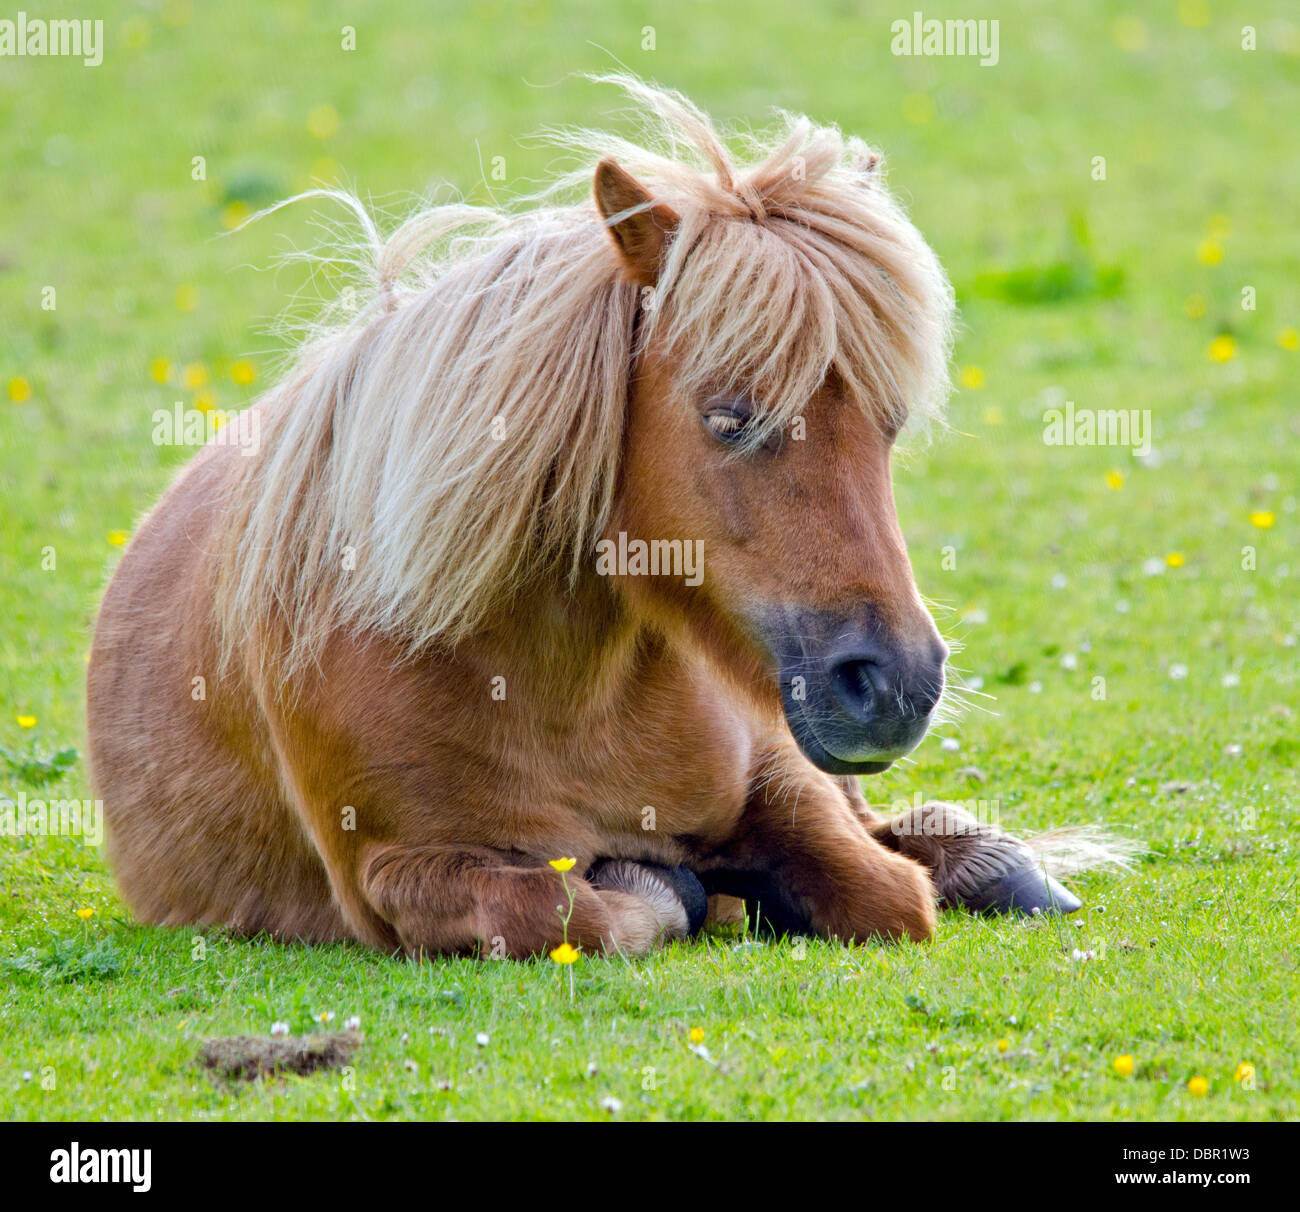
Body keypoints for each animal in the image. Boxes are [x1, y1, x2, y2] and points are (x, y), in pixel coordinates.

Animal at [87, 77, 1127, 959]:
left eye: (891, 424)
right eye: (729, 416)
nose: (898, 682)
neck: (552, 686)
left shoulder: (777, 770)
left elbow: (882, 890)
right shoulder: (385, 877)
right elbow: (570, 908)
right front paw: (668, 884)